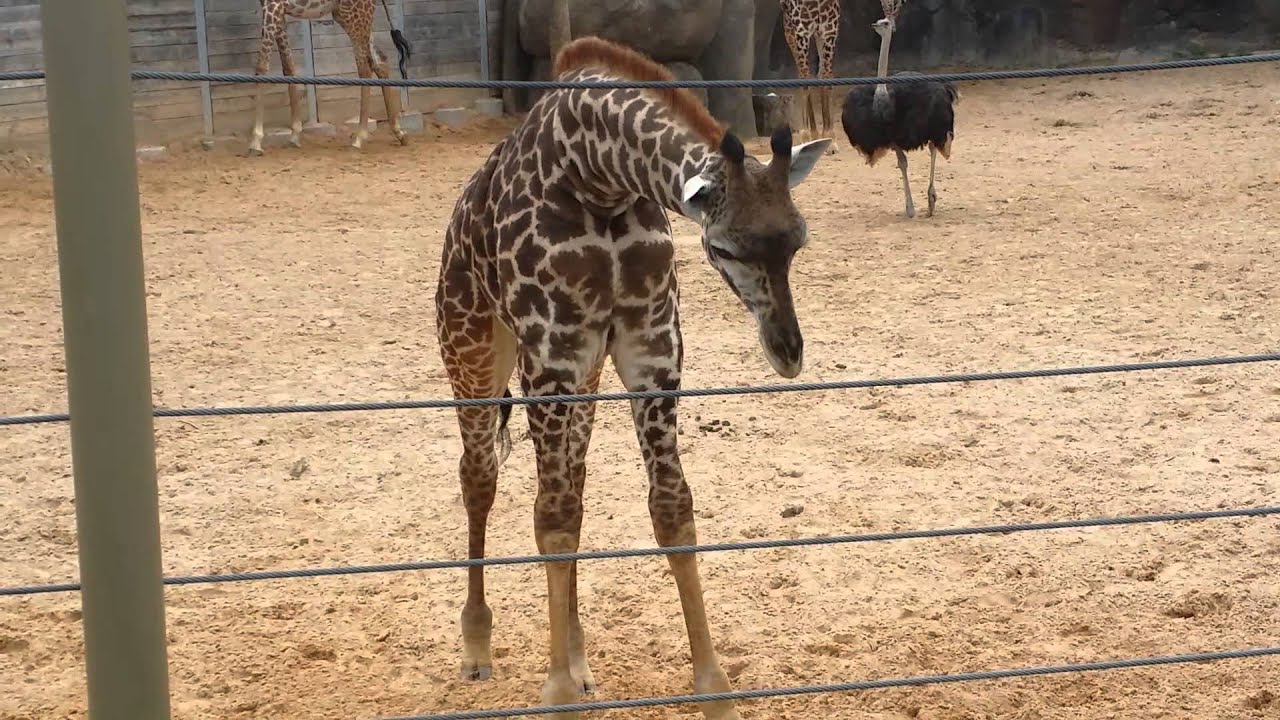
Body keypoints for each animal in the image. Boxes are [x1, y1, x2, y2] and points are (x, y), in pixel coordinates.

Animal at [248, 0, 412, 155]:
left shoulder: (272, 5)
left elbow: (261, 68)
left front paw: (256, 142)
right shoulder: (278, 9)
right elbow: (288, 67)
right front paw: (294, 136)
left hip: (354, 14)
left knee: (365, 68)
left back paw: (359, 138)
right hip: (348, 16)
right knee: (380, 61)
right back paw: (399, 133)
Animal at [434, 36, 831, 720]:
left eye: (798, 242)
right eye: (723, 248)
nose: (788, 352)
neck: (598, 179)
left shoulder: (650, 347)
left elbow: (669, 509)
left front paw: (714, 689)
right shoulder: (550, 352)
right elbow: (552, 518)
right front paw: (555, 692)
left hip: (586, 378)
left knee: (574, 486)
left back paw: (579, 657)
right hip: (474, 350)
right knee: (479, 478)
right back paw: (478, 649)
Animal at [779, 0, 842, 154]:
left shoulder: (829, 30)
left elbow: (826, 78)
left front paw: (830, 138)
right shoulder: (802, 32)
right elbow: (805, 79)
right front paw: (806, 135)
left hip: (817, 35)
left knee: (819, 73)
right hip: (789, 30)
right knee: (802, 74)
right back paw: (811, 134)